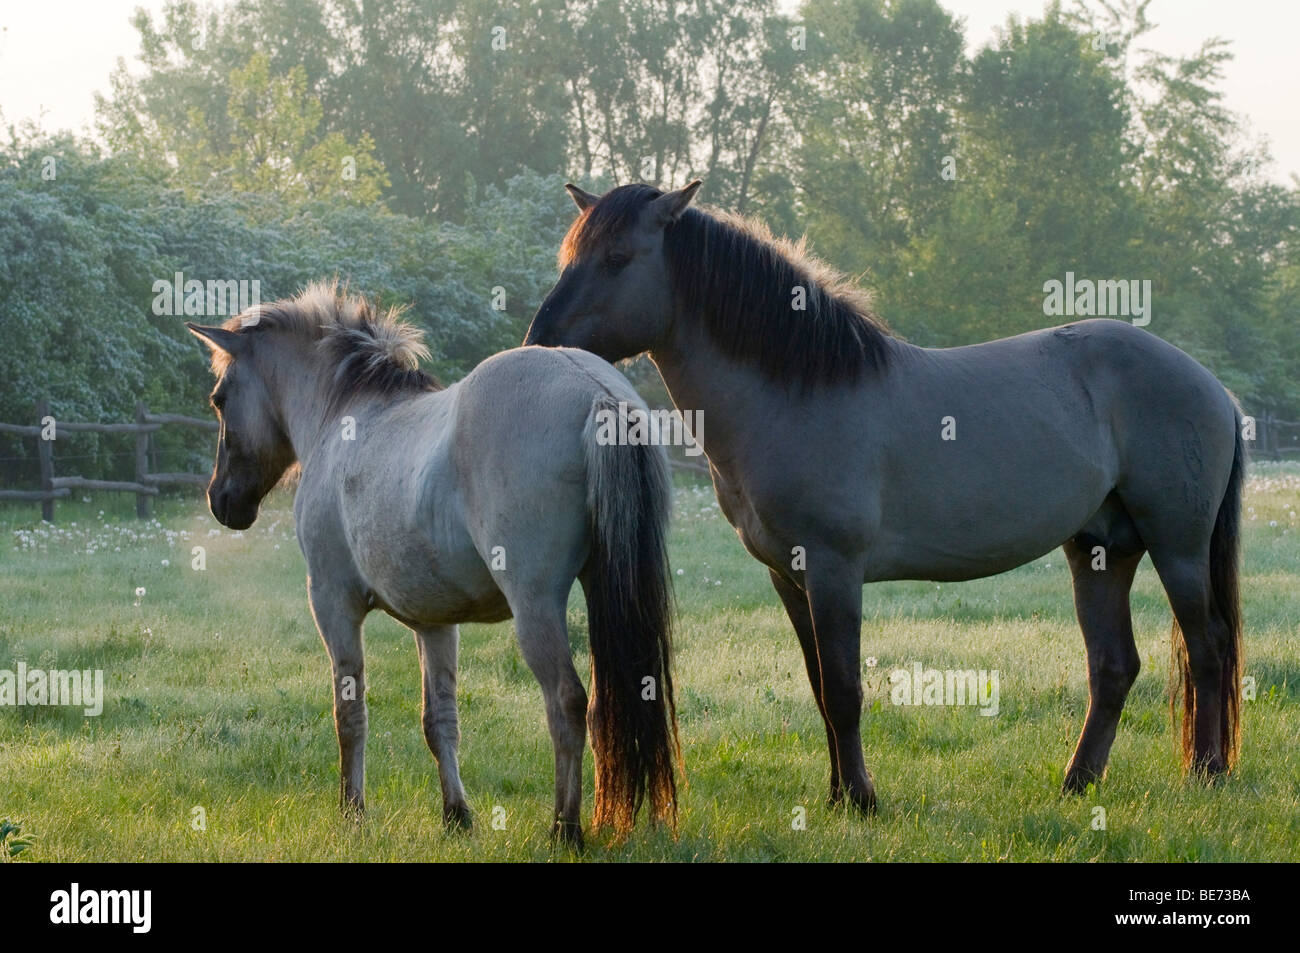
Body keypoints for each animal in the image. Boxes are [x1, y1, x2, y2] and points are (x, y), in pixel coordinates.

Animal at [188, 283, 679, 847]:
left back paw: (565, 829)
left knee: (567, 702)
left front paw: (353, 813)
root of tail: (595, 390)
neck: (345, 415)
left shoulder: (333, 604)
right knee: (603, 707)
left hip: (536, 605)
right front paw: (456, 814)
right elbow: (440, 719)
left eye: (220, 399)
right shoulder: (435, 622)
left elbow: (349, 713)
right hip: (601, 590)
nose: (223, 501)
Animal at [524, 181, 1245, 813]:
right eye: (571, 254)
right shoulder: (789, 576)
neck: (795, 391)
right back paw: (1078, 782)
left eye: (618, 258)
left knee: (1208, 648)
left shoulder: (836, 568)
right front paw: (837, 793)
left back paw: (1207, 773)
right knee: (1114, 665)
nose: (540, 341)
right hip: (1100, 548)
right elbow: (820, 688)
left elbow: (845, 689)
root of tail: (1214, 388)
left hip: (1177, 546)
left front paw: (863, 800)